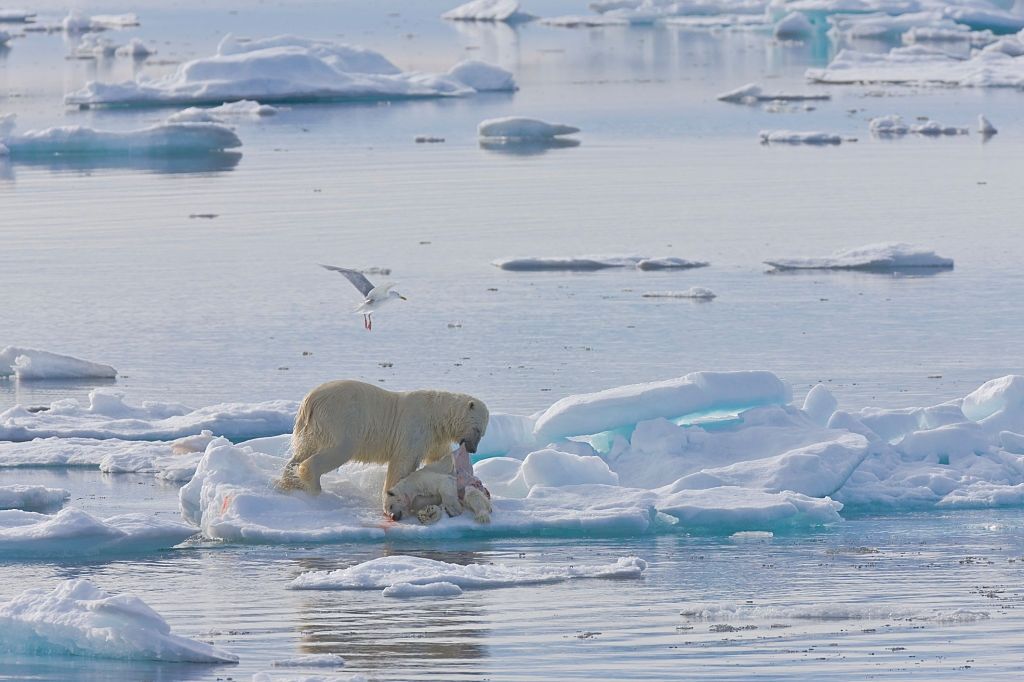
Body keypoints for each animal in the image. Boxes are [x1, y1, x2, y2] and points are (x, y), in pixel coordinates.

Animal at [276, 380, 489, 515]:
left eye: (482, 433)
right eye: (478, 429)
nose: (473, 450)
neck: (436, 413)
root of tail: (310, 401)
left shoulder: (434, 436)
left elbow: (438, 457)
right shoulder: (414, 427)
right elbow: (403, 462)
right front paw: (392, 501)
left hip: (311, 428)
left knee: (302, 452)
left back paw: (288, 483)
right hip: (340, 418)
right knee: (339, 450)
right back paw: (314, 487)